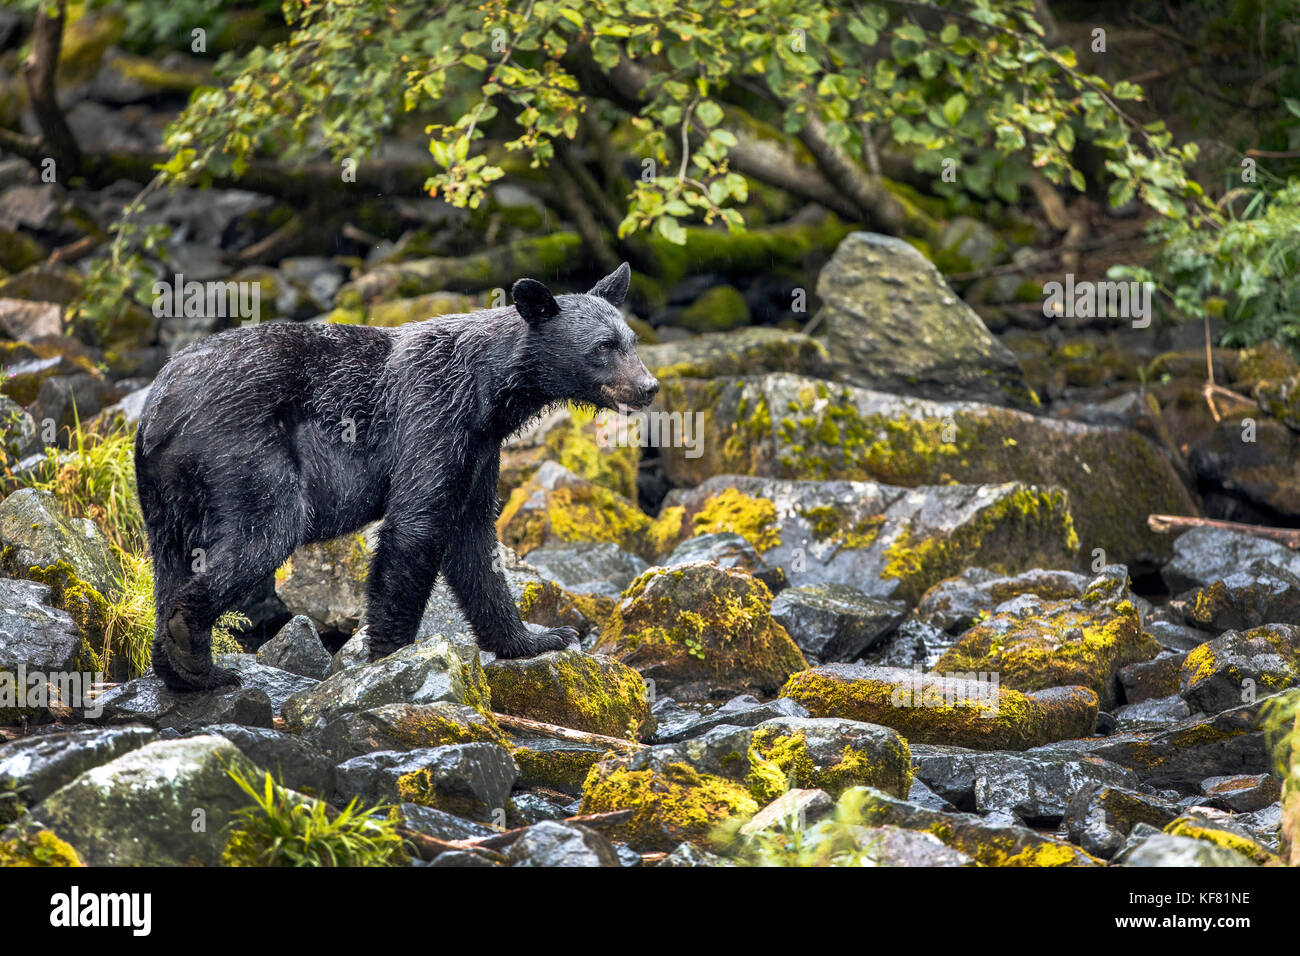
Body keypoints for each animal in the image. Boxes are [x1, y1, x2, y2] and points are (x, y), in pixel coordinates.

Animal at [135, 263, 658, 691]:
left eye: (631, 341)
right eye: (604, 347)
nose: (649, 386)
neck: (488, 394)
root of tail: (160, 406)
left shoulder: (478, 451)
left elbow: (474, 542)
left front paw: (538, 637)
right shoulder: (433, 415)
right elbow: (415, 526)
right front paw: (394, 654)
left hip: (163, 494)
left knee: (172, 559)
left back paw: (181, 669)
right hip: (244, 449)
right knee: (265, 531)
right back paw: (194, 651)